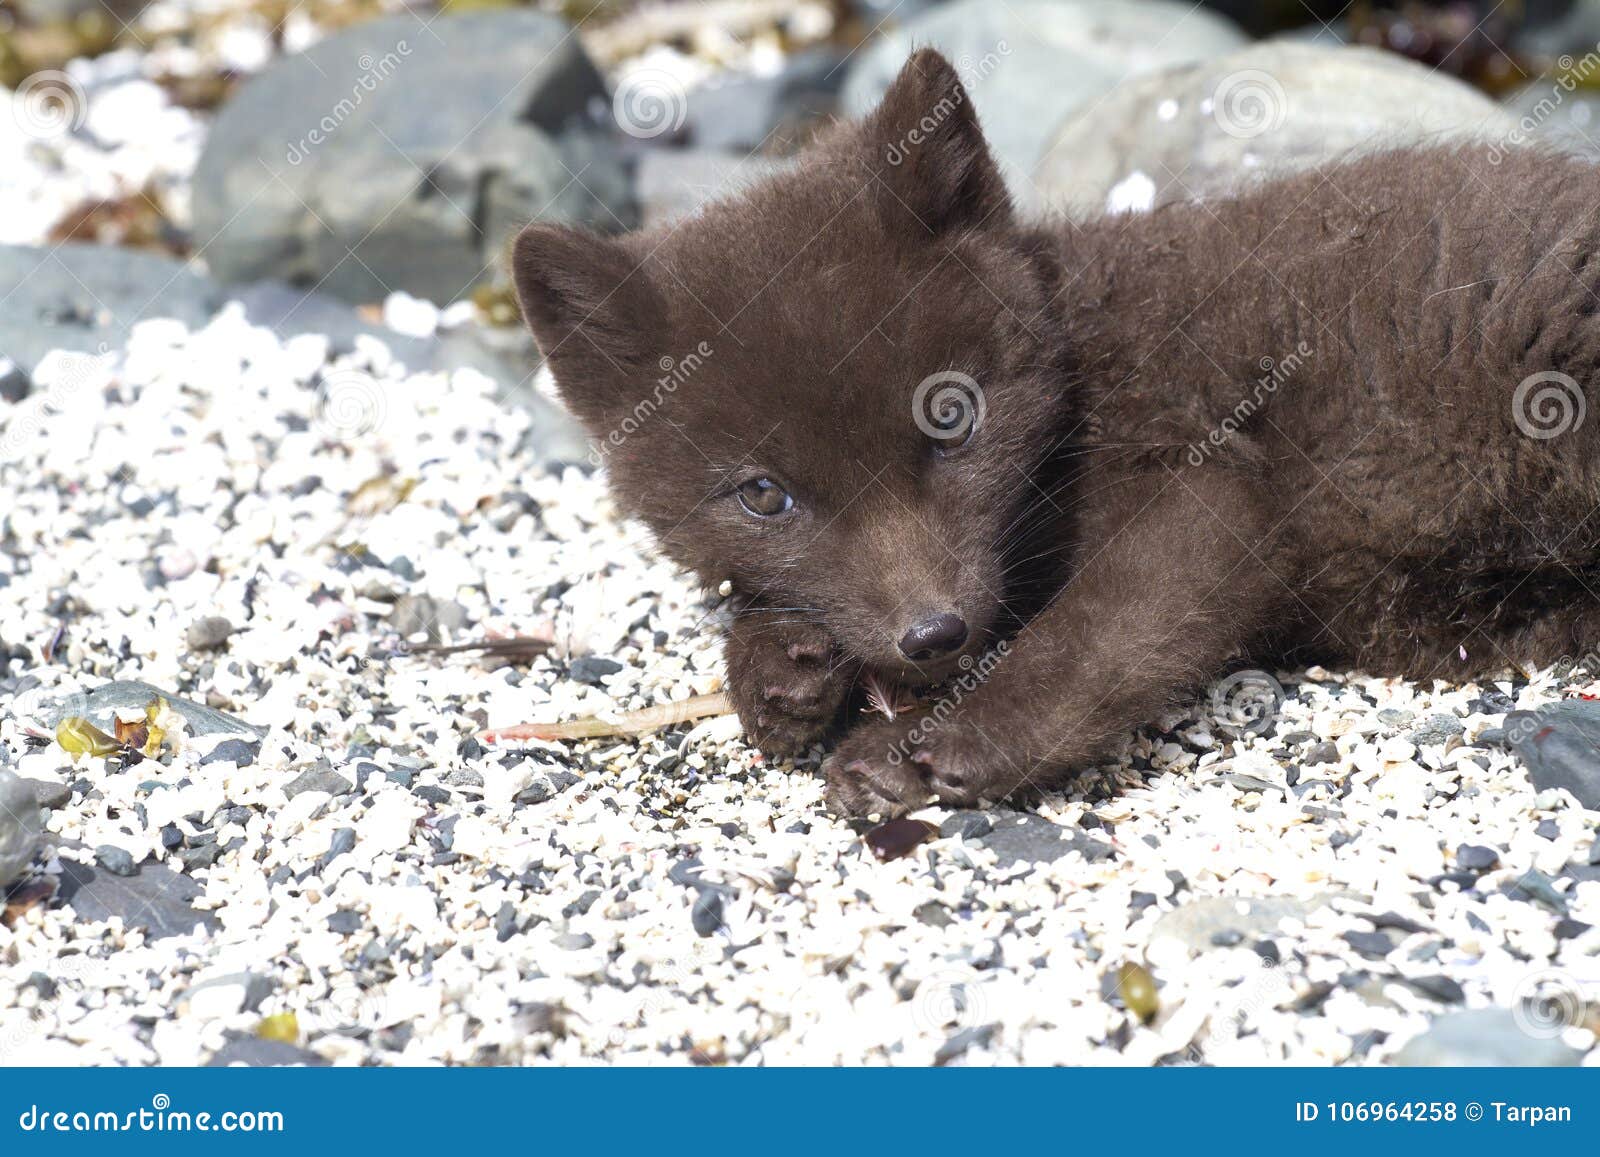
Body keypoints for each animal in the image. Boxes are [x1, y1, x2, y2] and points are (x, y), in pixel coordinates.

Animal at [512, 48, 1600, 818]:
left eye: (952, 415)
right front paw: (779, 663)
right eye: (762, 493)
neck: (1079, 362)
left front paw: (934, 744)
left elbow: (1085, 637)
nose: (931, 633)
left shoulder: (1211, 481)